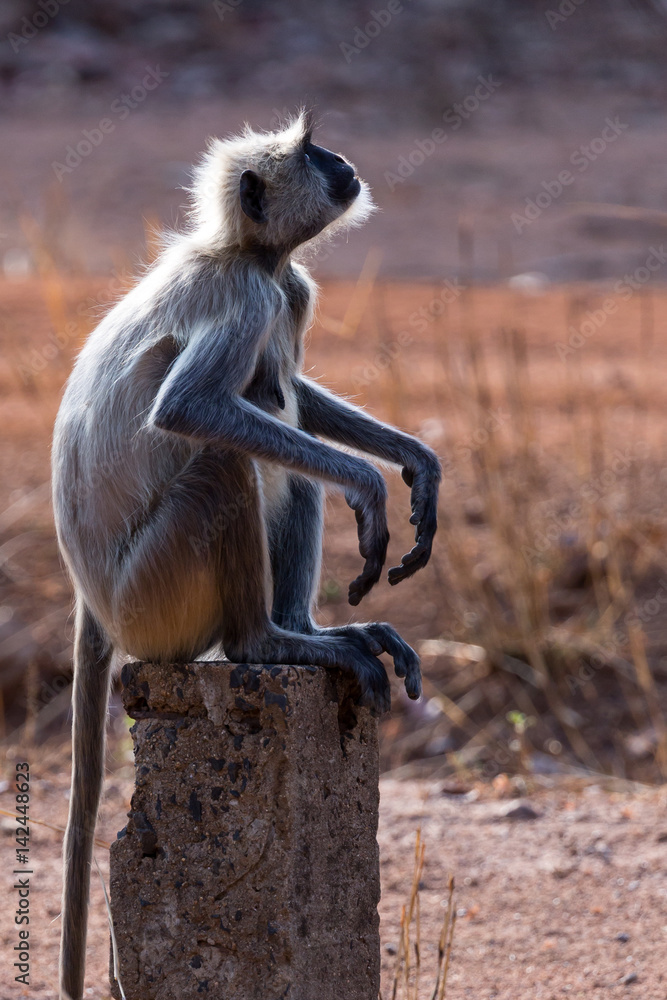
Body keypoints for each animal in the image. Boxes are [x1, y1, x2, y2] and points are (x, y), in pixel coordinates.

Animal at [51, 111, 441, 1000]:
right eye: (311, 152)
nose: (345, 162)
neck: (243, 252)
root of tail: (94, 600)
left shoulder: (286, 288)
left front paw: (414, 463)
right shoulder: (253, 293)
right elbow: (190, 407)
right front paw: (371, 481)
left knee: (281, 427)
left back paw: (307, 635)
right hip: (156, 597)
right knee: (233, 451)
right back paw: (262, 643)